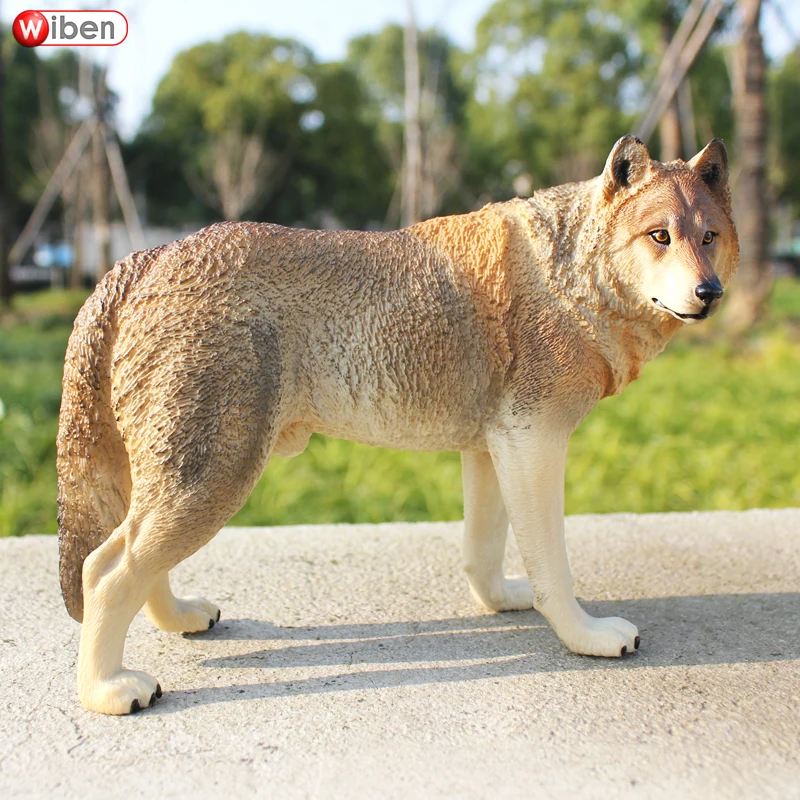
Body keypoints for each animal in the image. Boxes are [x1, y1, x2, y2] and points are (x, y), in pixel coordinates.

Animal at [57, 136, 738, 714]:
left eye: (708, 236)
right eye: (659, 236)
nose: (710, 292)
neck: (570, 272)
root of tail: (146, 257)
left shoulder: (494, 447)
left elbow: (484, 552)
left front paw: (500, 602)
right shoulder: (535, 441)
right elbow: (553, 565)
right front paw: (585, 636)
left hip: (183, 476)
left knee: (132, 559)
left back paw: (180, 619)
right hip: (214, 476)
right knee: (105, 571)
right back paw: (109, 691)